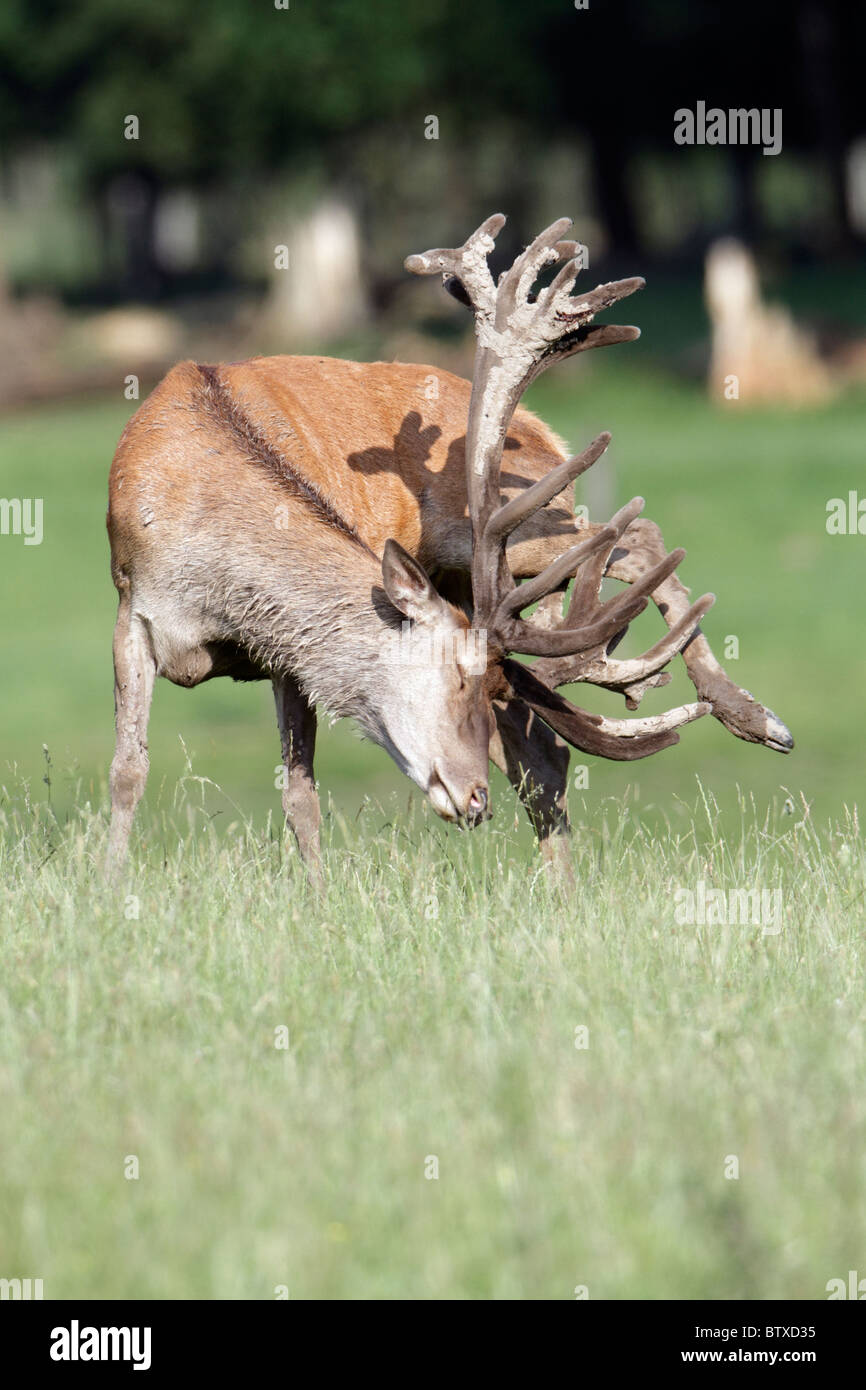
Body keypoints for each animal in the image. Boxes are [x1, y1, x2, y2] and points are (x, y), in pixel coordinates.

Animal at [106, 213, 793, 882]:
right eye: (462, 678)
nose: (476, 800)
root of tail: (543, 429)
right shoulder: (133, 609)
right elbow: (130, 771)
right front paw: (112, 884)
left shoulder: (290, 651)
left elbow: (300, 795)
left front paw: (317, 897)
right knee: (546, 751)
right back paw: (565, 890)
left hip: (513, 523)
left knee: (635, 539)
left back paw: (755, 717)